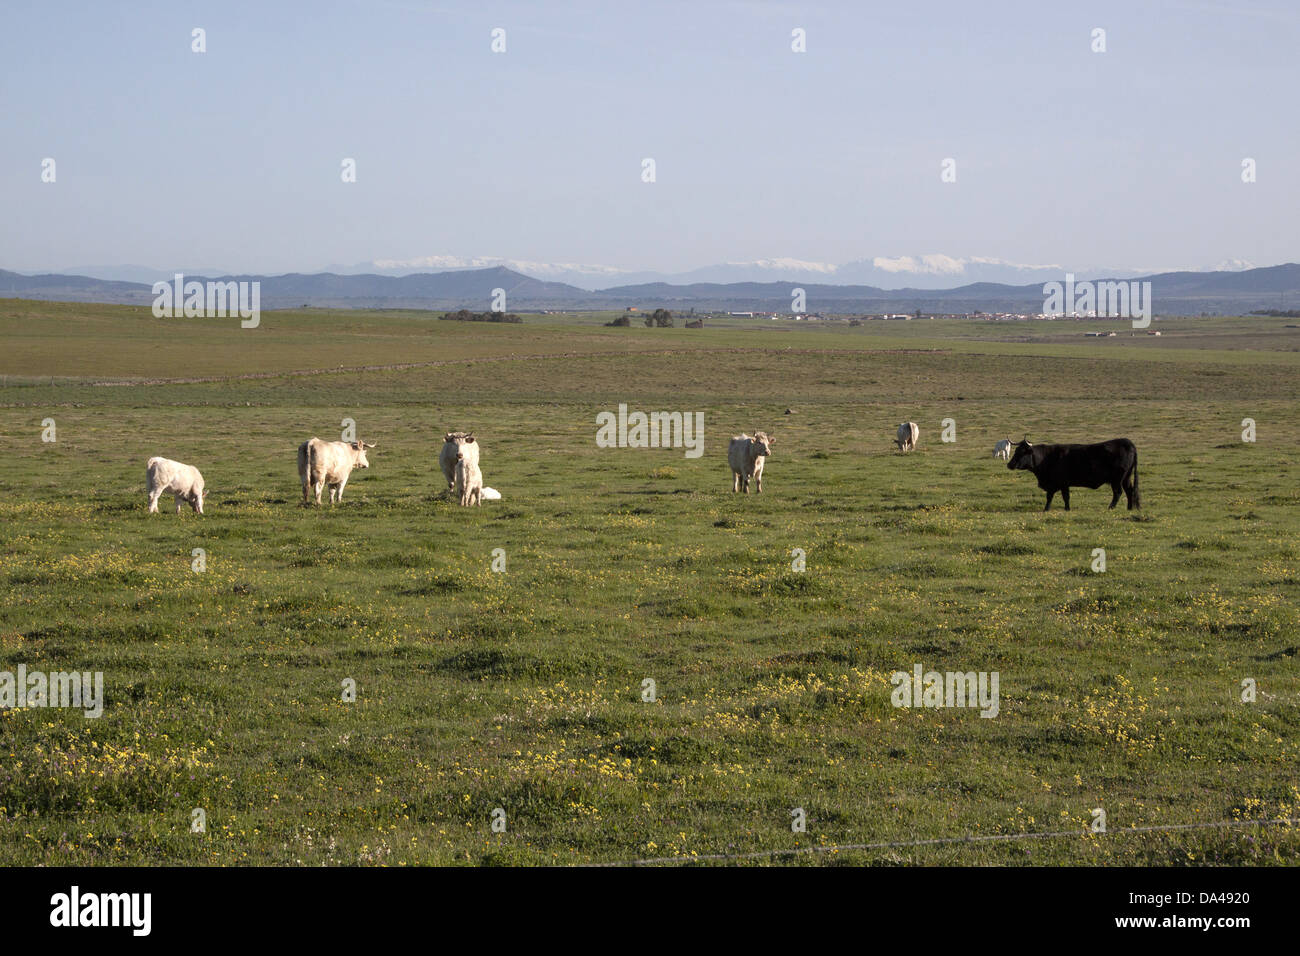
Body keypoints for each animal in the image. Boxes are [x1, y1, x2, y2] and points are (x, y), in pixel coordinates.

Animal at [1007, 438, 1140, 511]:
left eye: (1022, 452)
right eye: (1016, 450)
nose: (1009, 464)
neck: (1047, 458)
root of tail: (1128, 443)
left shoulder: (1055, 483)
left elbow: (1050, 497)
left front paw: (1046, 509)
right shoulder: (1064, 484)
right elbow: (1066, 497)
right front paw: (1067, 509)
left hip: (1117, 479)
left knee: (1118, 492)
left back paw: (1111, 507)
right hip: (1126, 477)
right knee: (1129, 491)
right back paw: (1129, 508)